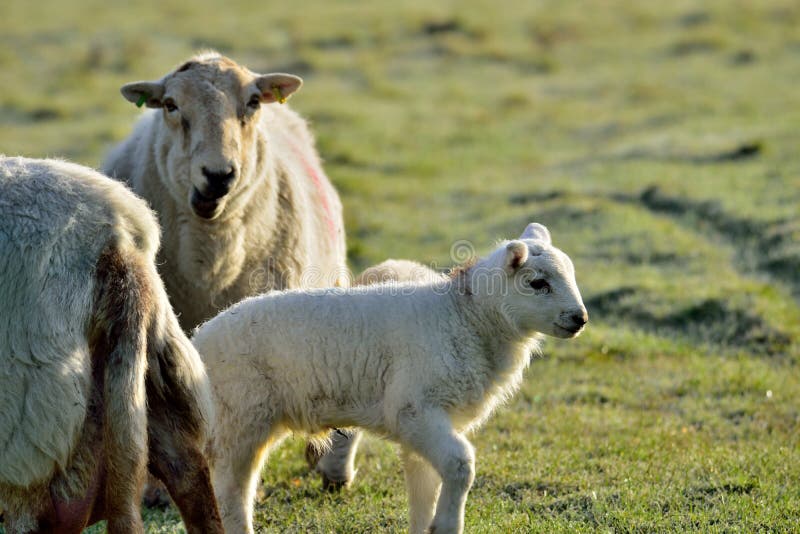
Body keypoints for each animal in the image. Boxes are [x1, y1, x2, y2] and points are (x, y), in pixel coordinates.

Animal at [194, 223, 589, 534]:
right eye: (538, 283)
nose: (580, 318)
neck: (467, 317)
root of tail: (198, 340)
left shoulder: (427, 422)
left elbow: (426, 486)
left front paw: (430, 524)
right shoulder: (414, 408)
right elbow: (461, 464)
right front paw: (448, 524)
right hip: (239, 420)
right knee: (231, 492)